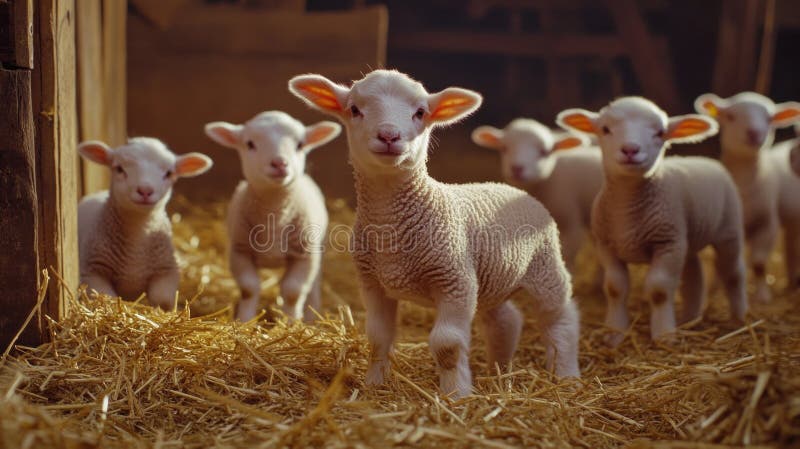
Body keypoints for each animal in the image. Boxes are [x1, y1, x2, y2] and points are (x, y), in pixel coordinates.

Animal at [77, 138, 213, 309]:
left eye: (169, 173)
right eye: (119, 169)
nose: (145, 190)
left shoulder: (166, 271)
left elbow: (162, 299)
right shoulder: (92, 271)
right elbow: (108, 298)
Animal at [205, 111, 341, 322]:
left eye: (300, 144)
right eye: (250, 144)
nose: (279, 163)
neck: (275, 216)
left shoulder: (304, 255)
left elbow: (293, 291)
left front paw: (292, 322)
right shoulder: (240, 251)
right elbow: (249, 288)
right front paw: (244, 320)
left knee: (314, 284)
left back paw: (311, 315)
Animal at [289, 69, 580, 398]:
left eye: (420, 112)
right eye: (354, 109)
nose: (389, 136)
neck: (392, 231)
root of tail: (511, 189)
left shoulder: (454, 280)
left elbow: (447, 344)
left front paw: (456, 394)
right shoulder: (373, 283)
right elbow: (378, 337)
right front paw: (374, 384)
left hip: (545, 266)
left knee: (561, 319)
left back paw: (566, 375)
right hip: (492, 278)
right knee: (506, 320)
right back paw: (499, 371)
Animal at [557, 97, 747, 345]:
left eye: (660, 132)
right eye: (605, 129)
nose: (630, 149)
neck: (626, 211)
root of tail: (706, 160)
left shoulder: (666, 243)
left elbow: (659, 289)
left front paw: (664, 335)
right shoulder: (606, 245)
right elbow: (615, 288)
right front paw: (614, 333)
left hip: (728, 229)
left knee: (733, 272)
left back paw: (738, 318)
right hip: (685, 238)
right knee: (694, 275)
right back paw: (689, 318)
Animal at [695, 92, 800, 298]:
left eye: (769, 119)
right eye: (730, 117)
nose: (754, 133)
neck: (744, 188)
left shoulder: (768, 224)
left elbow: (759, 263)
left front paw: (763, 296)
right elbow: (720, 262)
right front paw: (713, 291)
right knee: (791, 244)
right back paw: (791, 282)